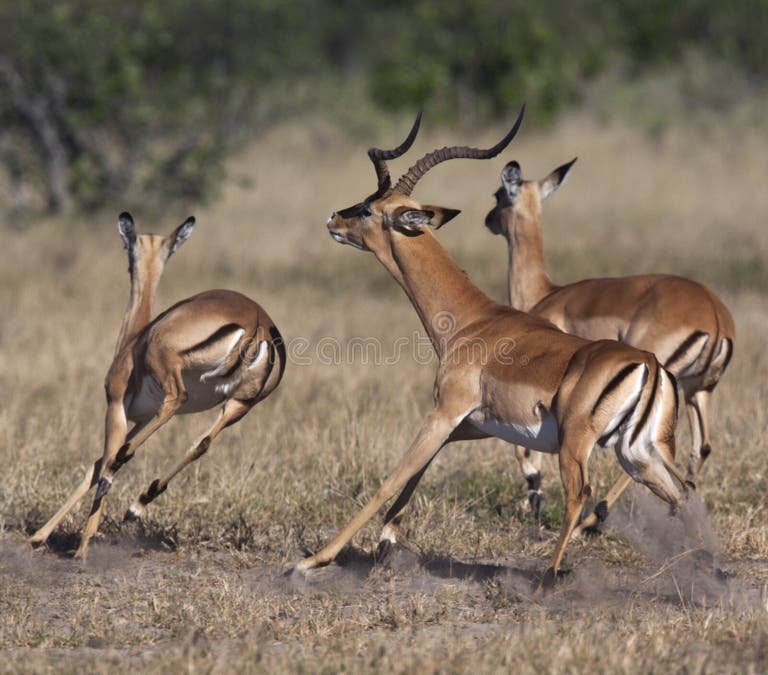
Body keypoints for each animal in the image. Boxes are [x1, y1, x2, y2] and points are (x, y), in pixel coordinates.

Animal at [29, 213, 285, 558]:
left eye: (127, 251)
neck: (132, 340)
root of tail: (257, 322)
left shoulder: (117, 409)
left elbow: (98, 465)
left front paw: (80, 546)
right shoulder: (141, 420)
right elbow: (93, 468)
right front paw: (40, 536)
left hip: (171, 375)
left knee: (161, 416)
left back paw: (124, 487)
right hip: (239, 405)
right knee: (202, 443)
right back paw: (138, 503)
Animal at [296, 109, 691, 589]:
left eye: (370, 208)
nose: (334, 218)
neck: (471, 321)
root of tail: (649, 365)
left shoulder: (445, 411)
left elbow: (391, 479)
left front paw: (314, 559)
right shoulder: (471, 424)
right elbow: (417, 474)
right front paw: (385, 543)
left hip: (578, 447)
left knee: (581, 494)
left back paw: (548, 576)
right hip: (641, 453)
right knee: (682, 493)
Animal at [485, 159, 734, 532]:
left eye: (499, 195)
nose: (488, 219)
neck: (546, 292)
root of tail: (715, 315)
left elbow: (524, 445)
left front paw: (535, 501)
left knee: (643, 455)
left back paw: (591, 521)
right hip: (696, 391)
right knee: (700, 448)